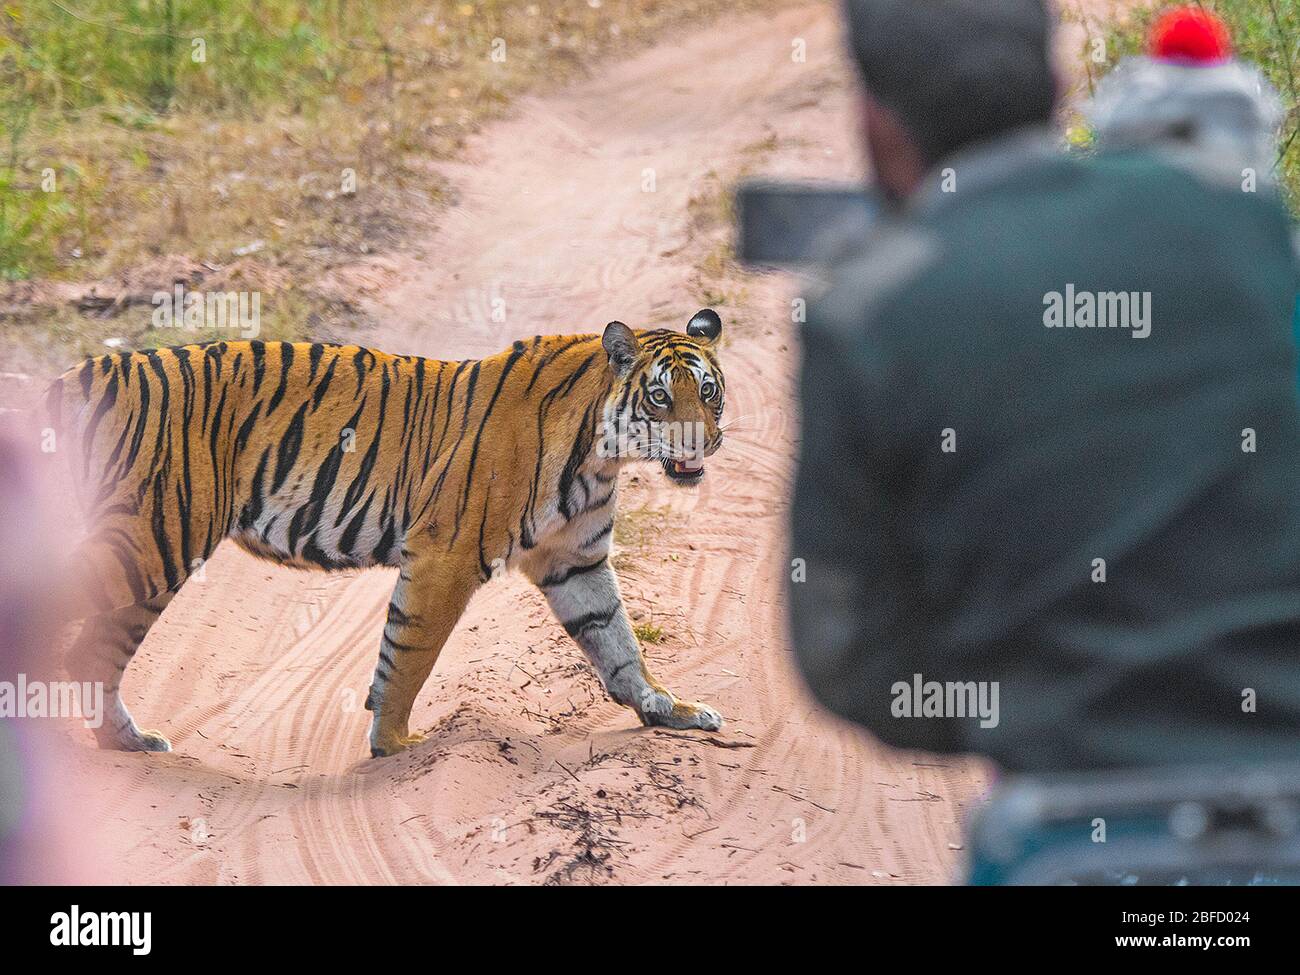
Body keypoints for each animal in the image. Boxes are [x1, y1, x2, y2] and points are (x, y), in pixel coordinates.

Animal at [46, 309, 726, 757]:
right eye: (660, 398)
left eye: (709, 391)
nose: (702, 442)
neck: (599, 456)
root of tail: (78, 374)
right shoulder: (445, 556)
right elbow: (409, 656)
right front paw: (397, 745)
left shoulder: (576, 560)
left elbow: (618, 642)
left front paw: (668, 709)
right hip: (151, 540)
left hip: (156, 551)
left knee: (92, 654)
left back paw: (130, 741)